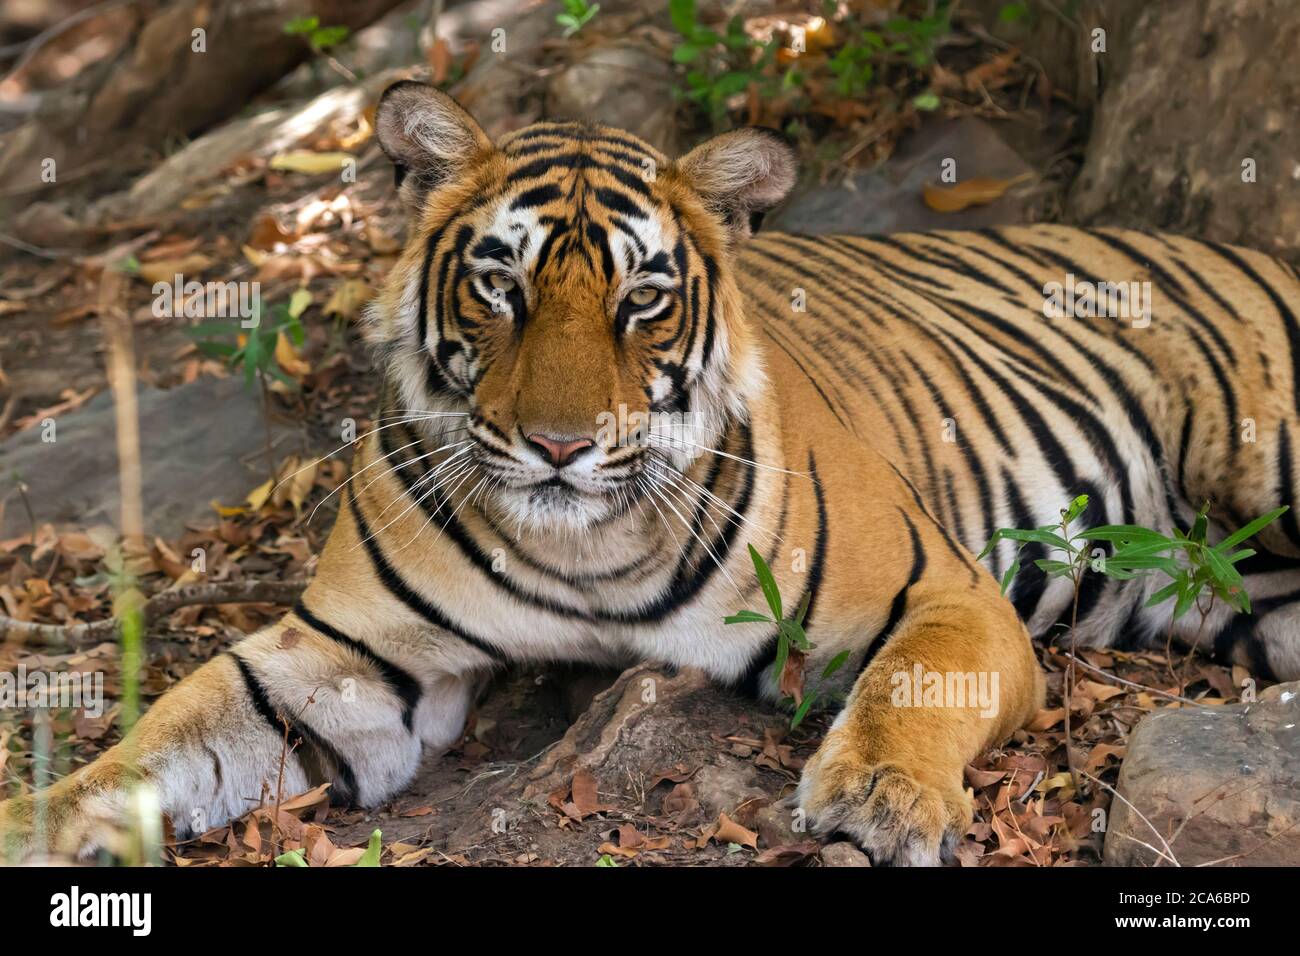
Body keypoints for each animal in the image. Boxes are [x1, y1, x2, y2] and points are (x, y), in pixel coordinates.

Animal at [3, 80, 1298, 867]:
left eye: (641, 299)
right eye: (500, 285)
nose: (558, 445)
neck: (586, 546)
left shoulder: (946, 590)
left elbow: (908, 686)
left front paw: (879, 798)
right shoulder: (347, 655)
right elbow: (165, 735)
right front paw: (38, 817)